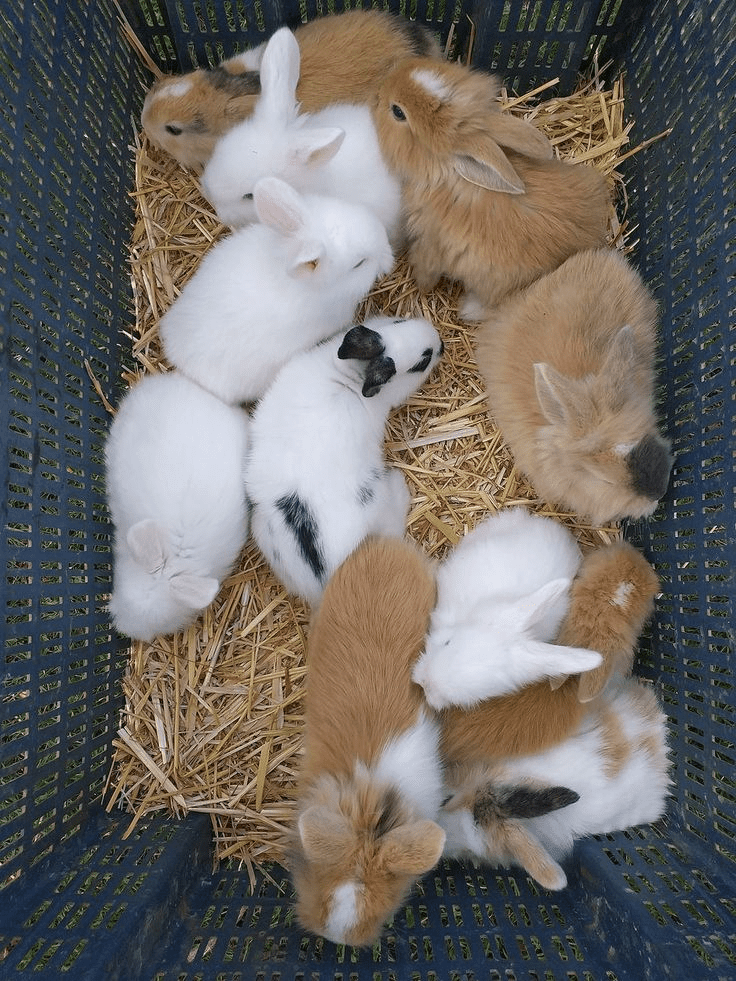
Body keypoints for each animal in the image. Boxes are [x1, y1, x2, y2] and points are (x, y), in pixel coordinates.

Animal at [372, 57, 610, 312]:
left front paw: (422, 287)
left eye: (398, 112)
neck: (448, 174)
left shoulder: (430, 241)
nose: (381, 88)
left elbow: (426, 268)